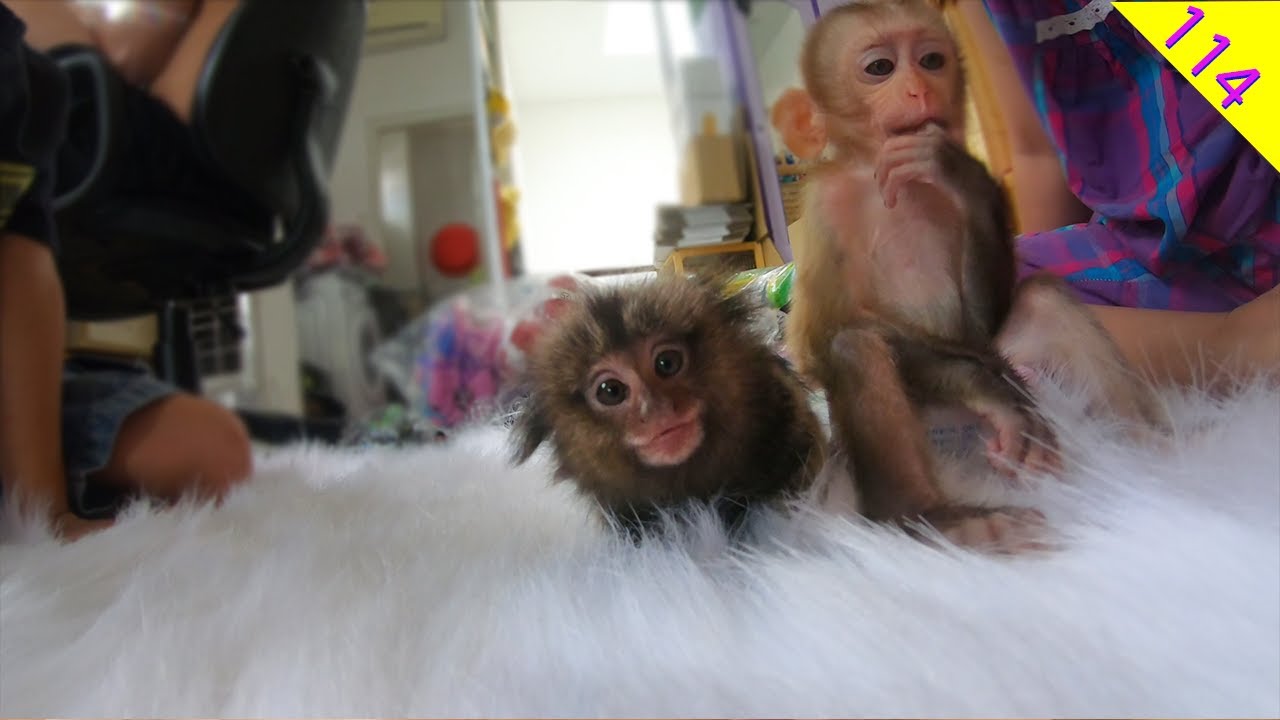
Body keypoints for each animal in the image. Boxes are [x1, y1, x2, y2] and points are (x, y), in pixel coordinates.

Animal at [771, 0, 1170, 546]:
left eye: (932, 60)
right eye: (880, 68)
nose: (921, 88)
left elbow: (978, 327)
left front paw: (953, 168)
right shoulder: (824, 212)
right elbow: (823, 337)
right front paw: (993, 394)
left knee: (1044, 298)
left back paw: (1155, 457)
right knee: (854, 345)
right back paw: (938, 517)